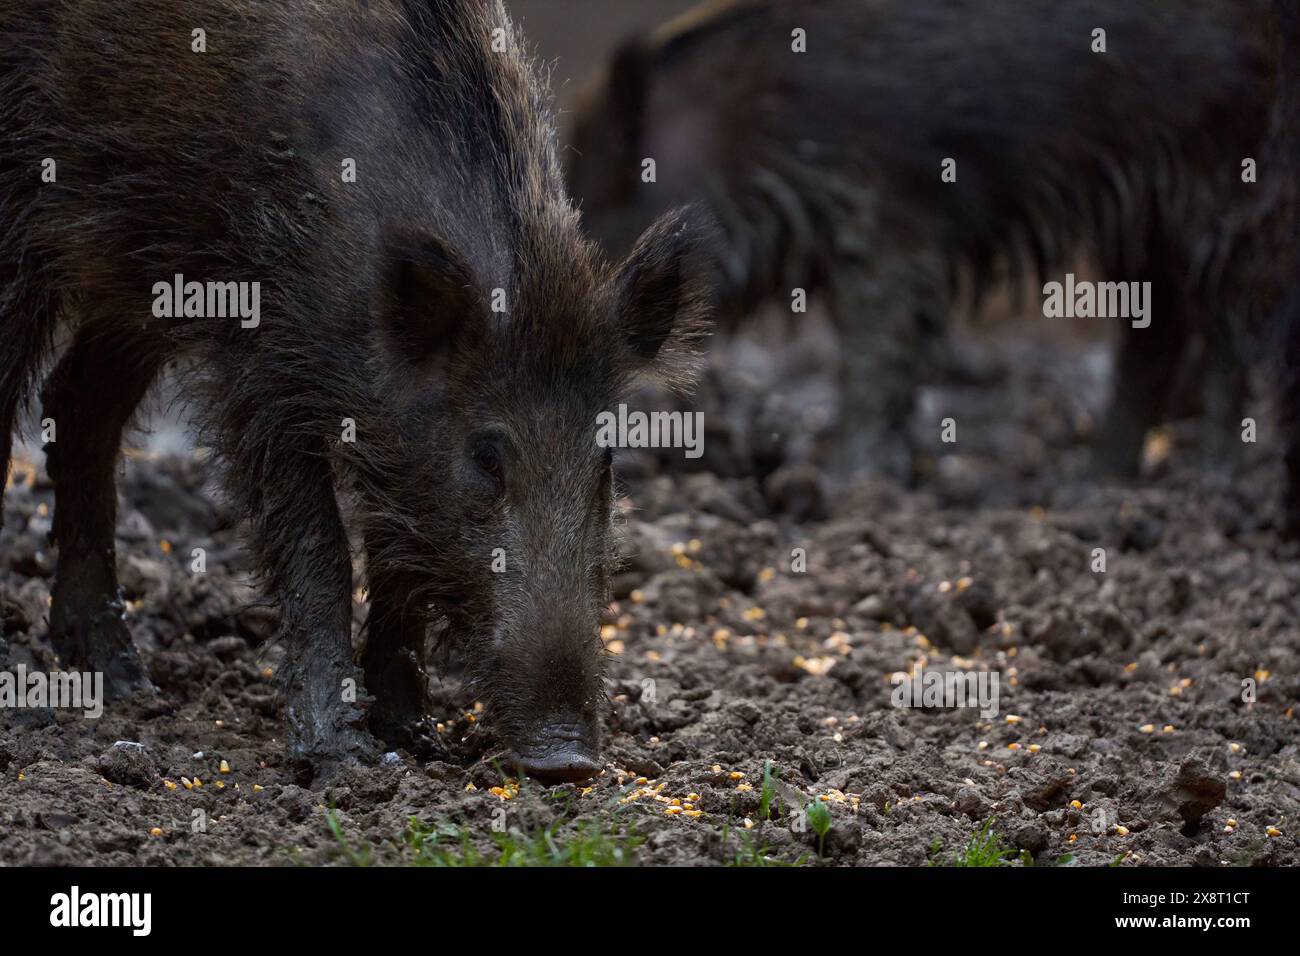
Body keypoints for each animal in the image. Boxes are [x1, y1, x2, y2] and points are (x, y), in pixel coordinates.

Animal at [0, 0, 713, 780]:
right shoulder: (260, 359)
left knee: (77, 401)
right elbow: (324, 548)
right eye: (487, 457)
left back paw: (124, 681)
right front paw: (339, 757)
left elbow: (397, 556)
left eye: (607, 461)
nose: (567, 760)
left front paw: (413, 737)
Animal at [567, 0, 1288, 484]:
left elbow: (875, 356)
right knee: (1157, 331)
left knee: (1222, 323)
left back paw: (1208, 481)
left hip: (1215, 178)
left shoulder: (887, 224)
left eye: (587, 204)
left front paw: (842, 481)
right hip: (1141, 219)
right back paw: (1096, 483)